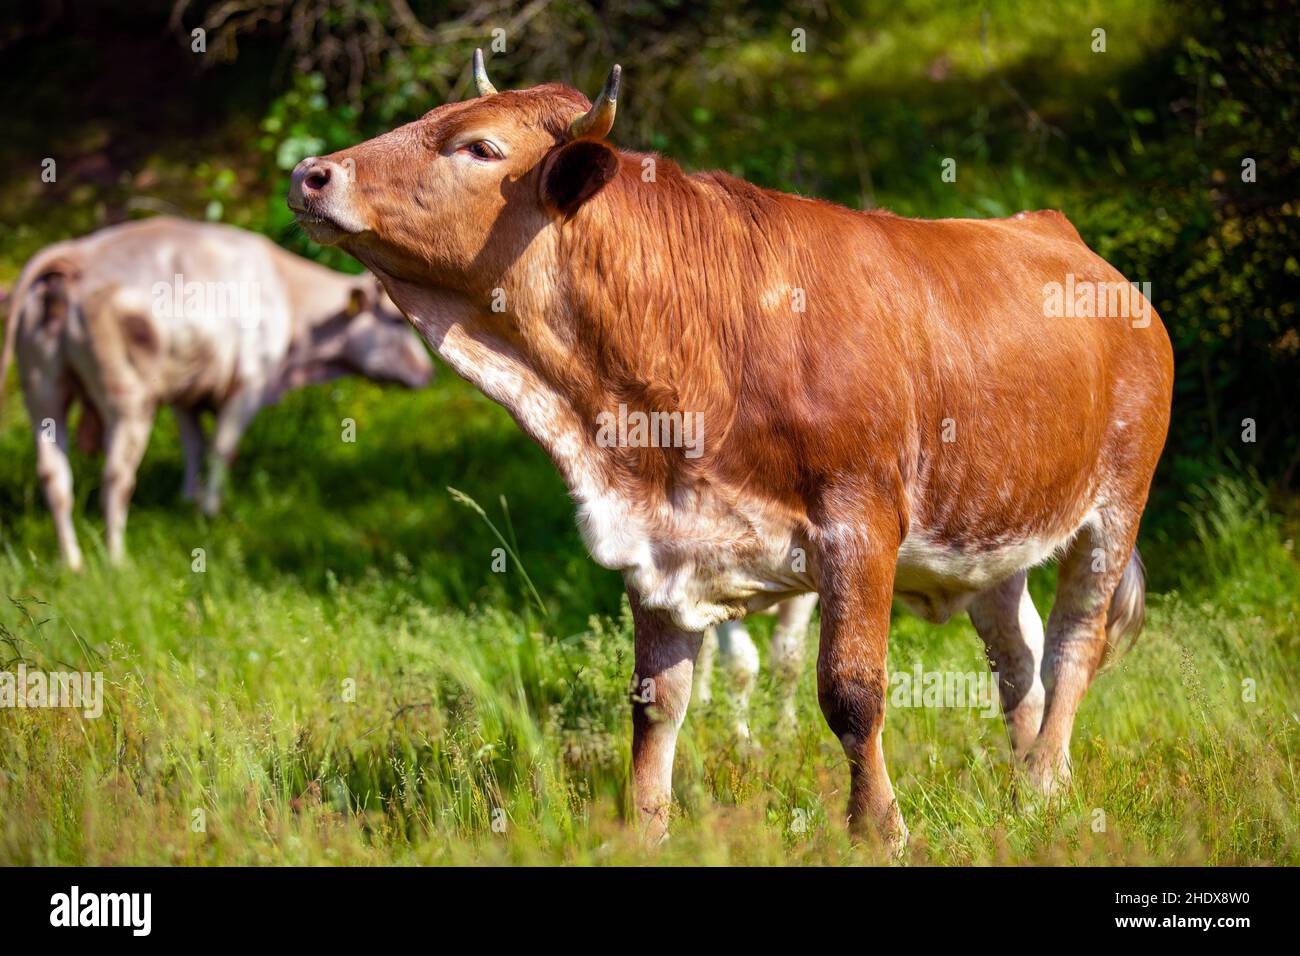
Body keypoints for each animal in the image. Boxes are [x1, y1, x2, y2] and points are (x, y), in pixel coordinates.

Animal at [0, 216, 434, 570]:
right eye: (396, 319)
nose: (427, 372)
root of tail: (76, 255)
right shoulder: (250, 383)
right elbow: (222, 447)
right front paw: (210, 509)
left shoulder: (186, 393)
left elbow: (195, 446)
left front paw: (188, 500)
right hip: (129, 402)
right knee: (116, 477)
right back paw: (116, 559)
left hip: (43, 394)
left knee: (54, 476)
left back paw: (72, 562)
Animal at [287, 51, 1174, 850]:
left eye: (478, 147)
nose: (311, 174)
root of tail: (1061, 235)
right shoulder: (659, 543)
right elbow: (655, 701)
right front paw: (644, 831)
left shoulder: (859, 527)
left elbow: (851, 692)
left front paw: (880, 828)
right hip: (991, 532)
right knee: (1016, 652)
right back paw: (1021, 779)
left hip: (1114, 508)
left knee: (1071, 645)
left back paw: (1046, 783)